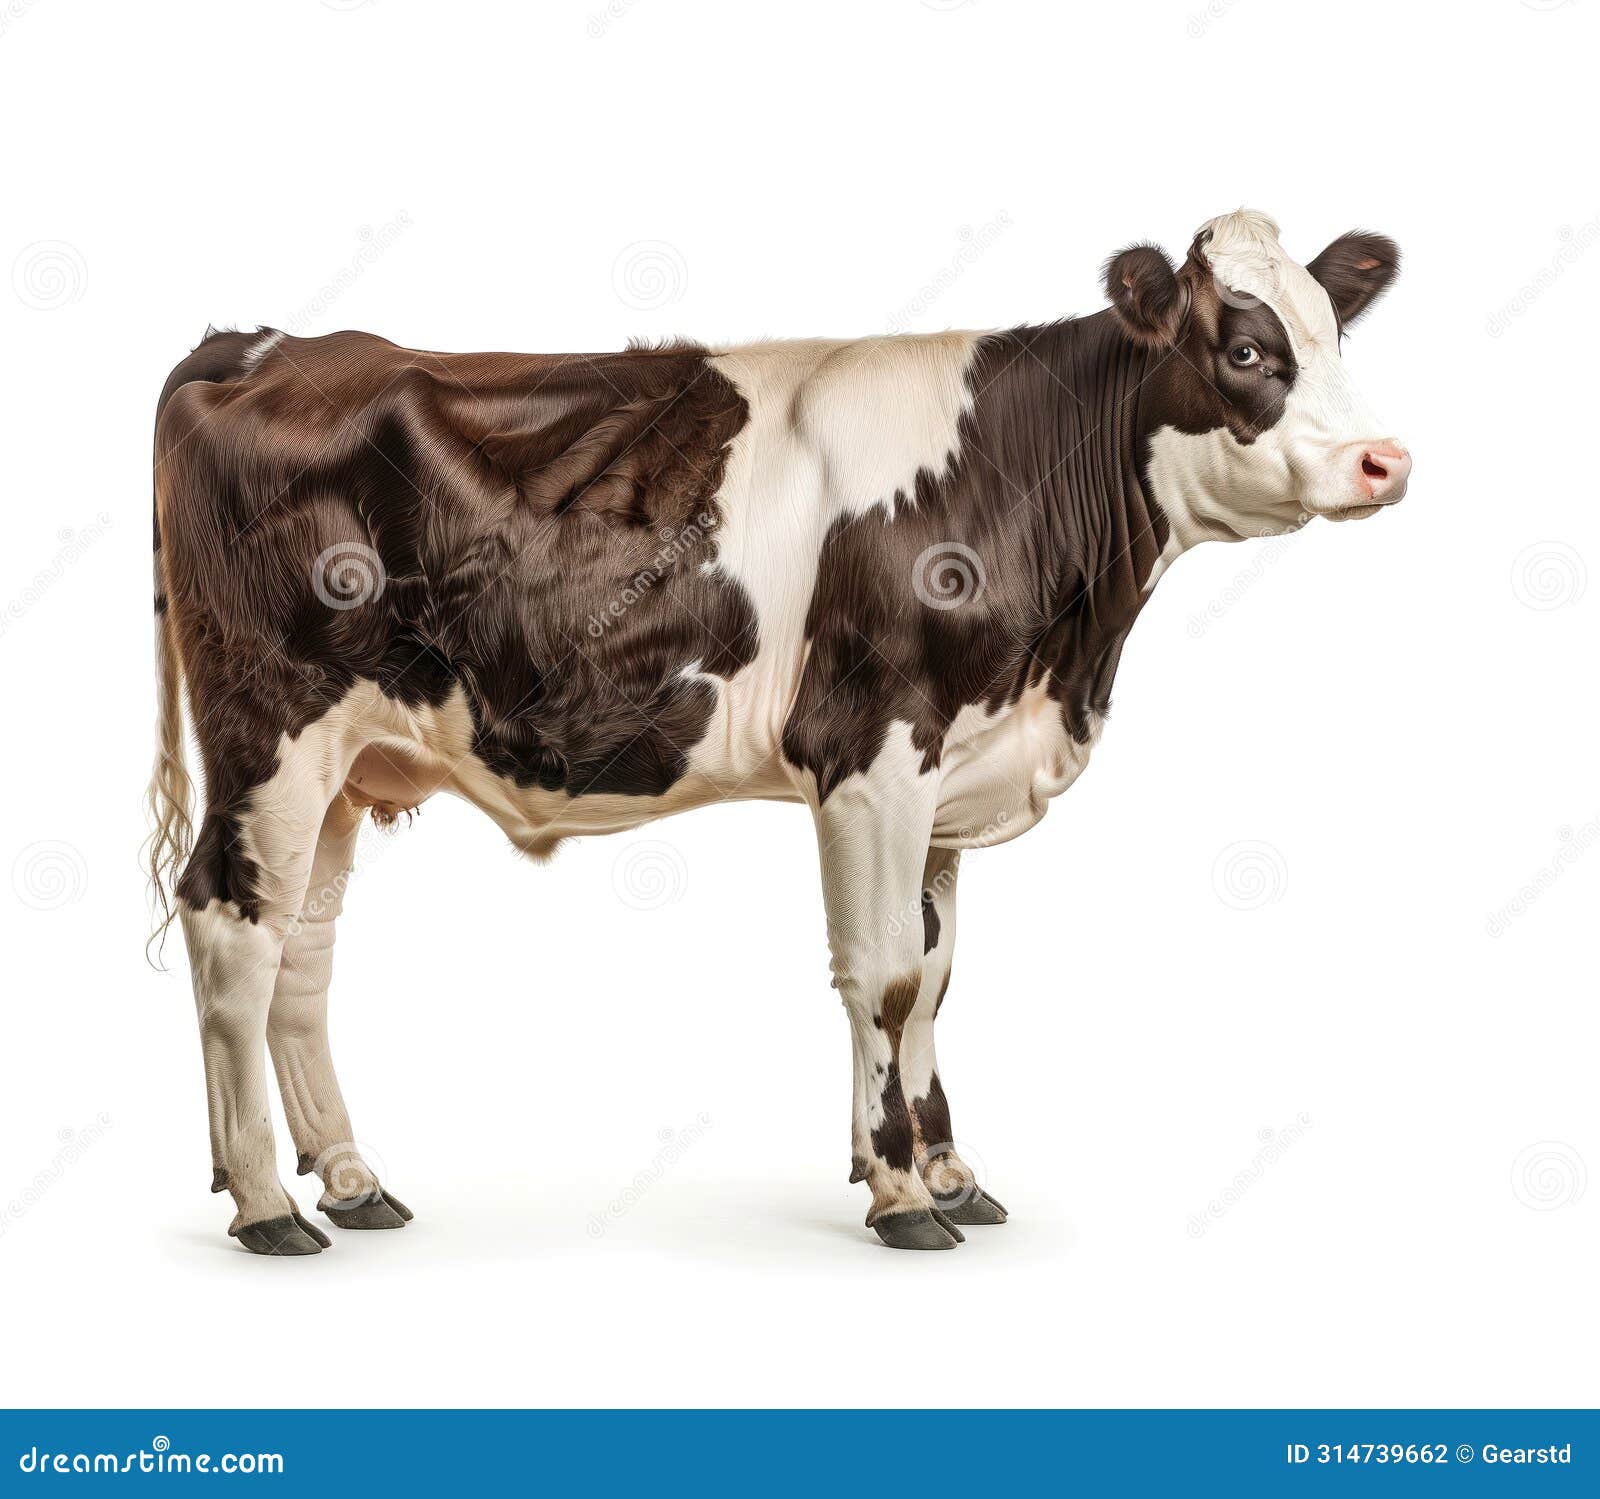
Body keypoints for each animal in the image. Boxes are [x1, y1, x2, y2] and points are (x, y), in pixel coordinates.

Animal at [147, 209, 1409, 1254]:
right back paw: (264, 1202)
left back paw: (351, 1180)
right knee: (229, 924)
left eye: (1335, 334)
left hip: (348, 760)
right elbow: (883, 975)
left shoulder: (945, 769)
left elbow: (935, 976)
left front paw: (948, 1173)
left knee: (301, 948)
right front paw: (899, 1194)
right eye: (1243, 351)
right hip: (270, 725)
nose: (1383, 462)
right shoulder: (867, 752)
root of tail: (259, 346)